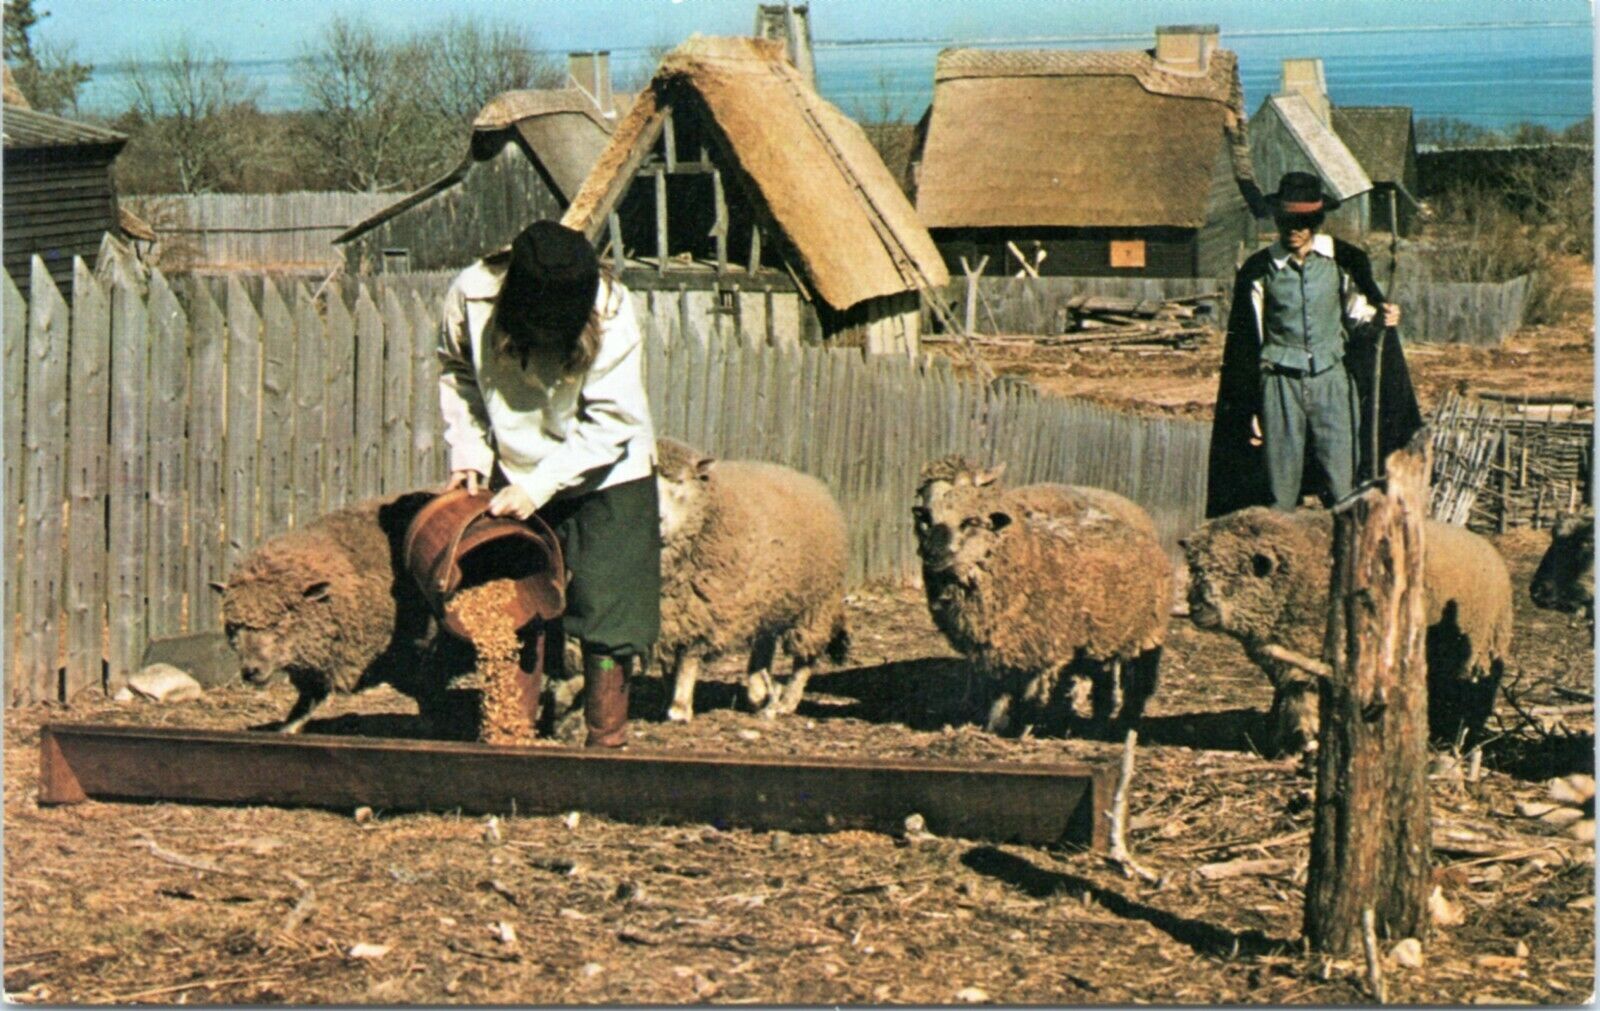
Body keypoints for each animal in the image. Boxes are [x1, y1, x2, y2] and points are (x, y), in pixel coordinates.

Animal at [215, 492, 471, 733]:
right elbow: (306, 704)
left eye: (281, 619)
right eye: (234, 627)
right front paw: (288, 728)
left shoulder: (423, 654)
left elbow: (428, 697)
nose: (250, 671)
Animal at [655, 438, 850, 721]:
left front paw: (680, 707)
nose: (658, 519)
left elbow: (688, 657)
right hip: (769, 597)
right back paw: (759, 690)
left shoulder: (703, 609)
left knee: (804, 657)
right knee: (764, 643)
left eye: (680, 482)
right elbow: (668, 658)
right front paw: (667, 698)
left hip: (815, 603)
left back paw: (786, 701)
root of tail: (806, 478)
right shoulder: (670, 613)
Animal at [916, 476, 1171, 736]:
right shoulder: (999, 646)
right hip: (1099, 637)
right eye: (927, 520)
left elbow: (1029, 694)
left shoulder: (1042, 647)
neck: (1029, 554)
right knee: (1103, 681)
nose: (931, 553)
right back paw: (1097, 724)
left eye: (971, 521)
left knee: (1139, 684)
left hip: (1146, 633)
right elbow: (1000, 690)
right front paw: (994, 726)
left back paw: (1125, 726)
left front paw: (1020, 730)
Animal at [1183, 506, 1515, 756]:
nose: (1196, 608)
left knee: (1472, 697)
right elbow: (1288, 696)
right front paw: (1282, 742)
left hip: (1476, 653)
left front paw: (1304, 742)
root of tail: (1492, 553)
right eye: (1196, 569)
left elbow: (1303, 698)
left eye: (1234, 574)